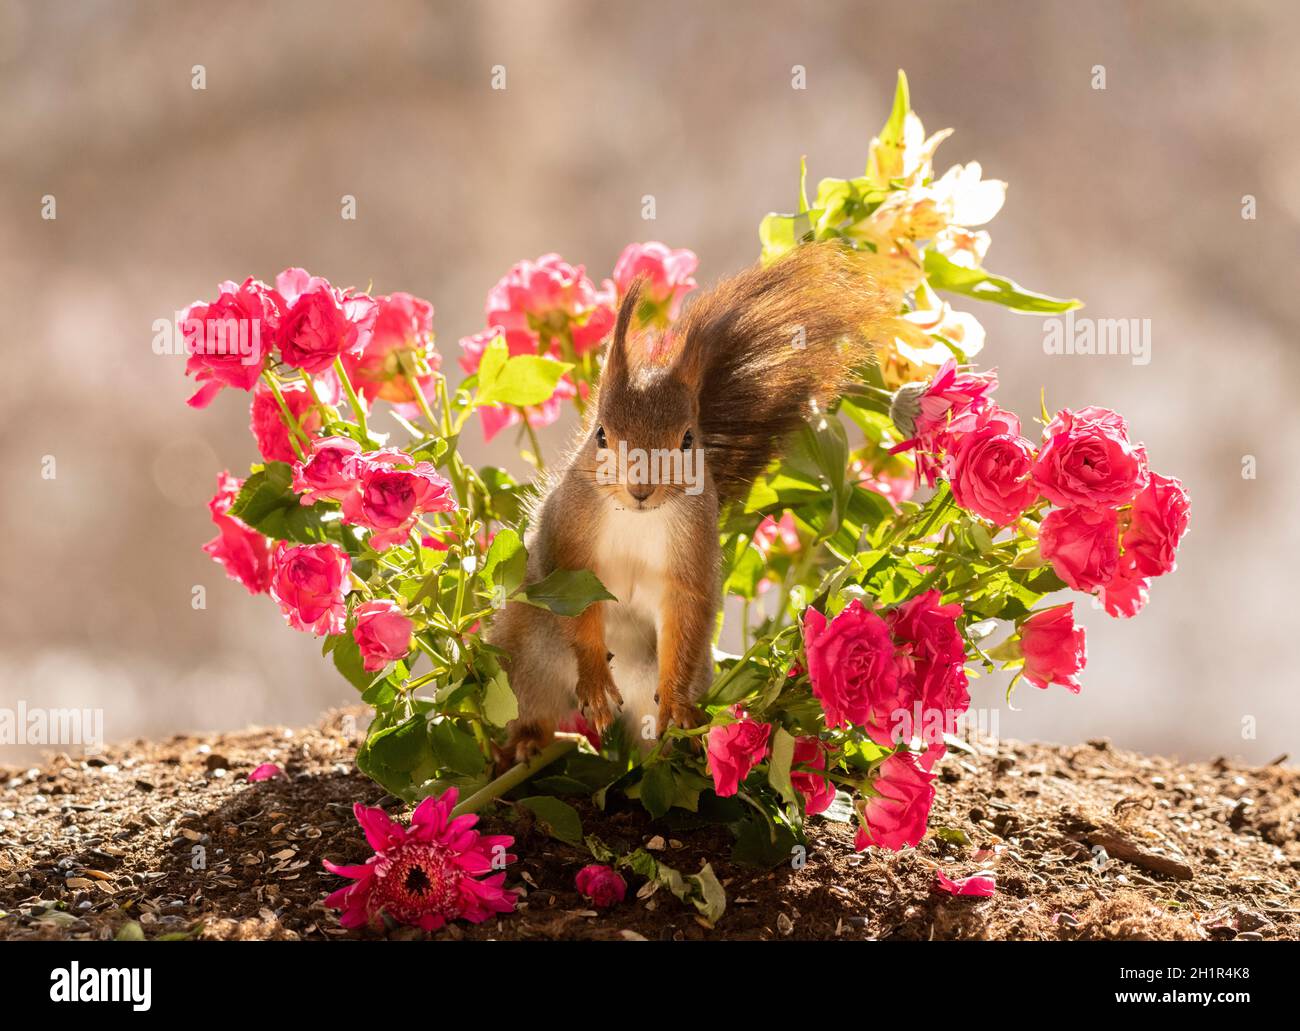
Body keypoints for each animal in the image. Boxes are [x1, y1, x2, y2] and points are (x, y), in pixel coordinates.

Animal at [488, 242, 896, 763]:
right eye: (601, 434)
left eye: (687, 440)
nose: (641, 489)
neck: (636, 517)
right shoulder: (571, 546)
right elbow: (580, 610)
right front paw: (597, 685)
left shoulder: (691, 552)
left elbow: (684, 615)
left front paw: (678, 708)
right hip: (525, 658)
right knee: (534, 708)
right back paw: (527, 742)